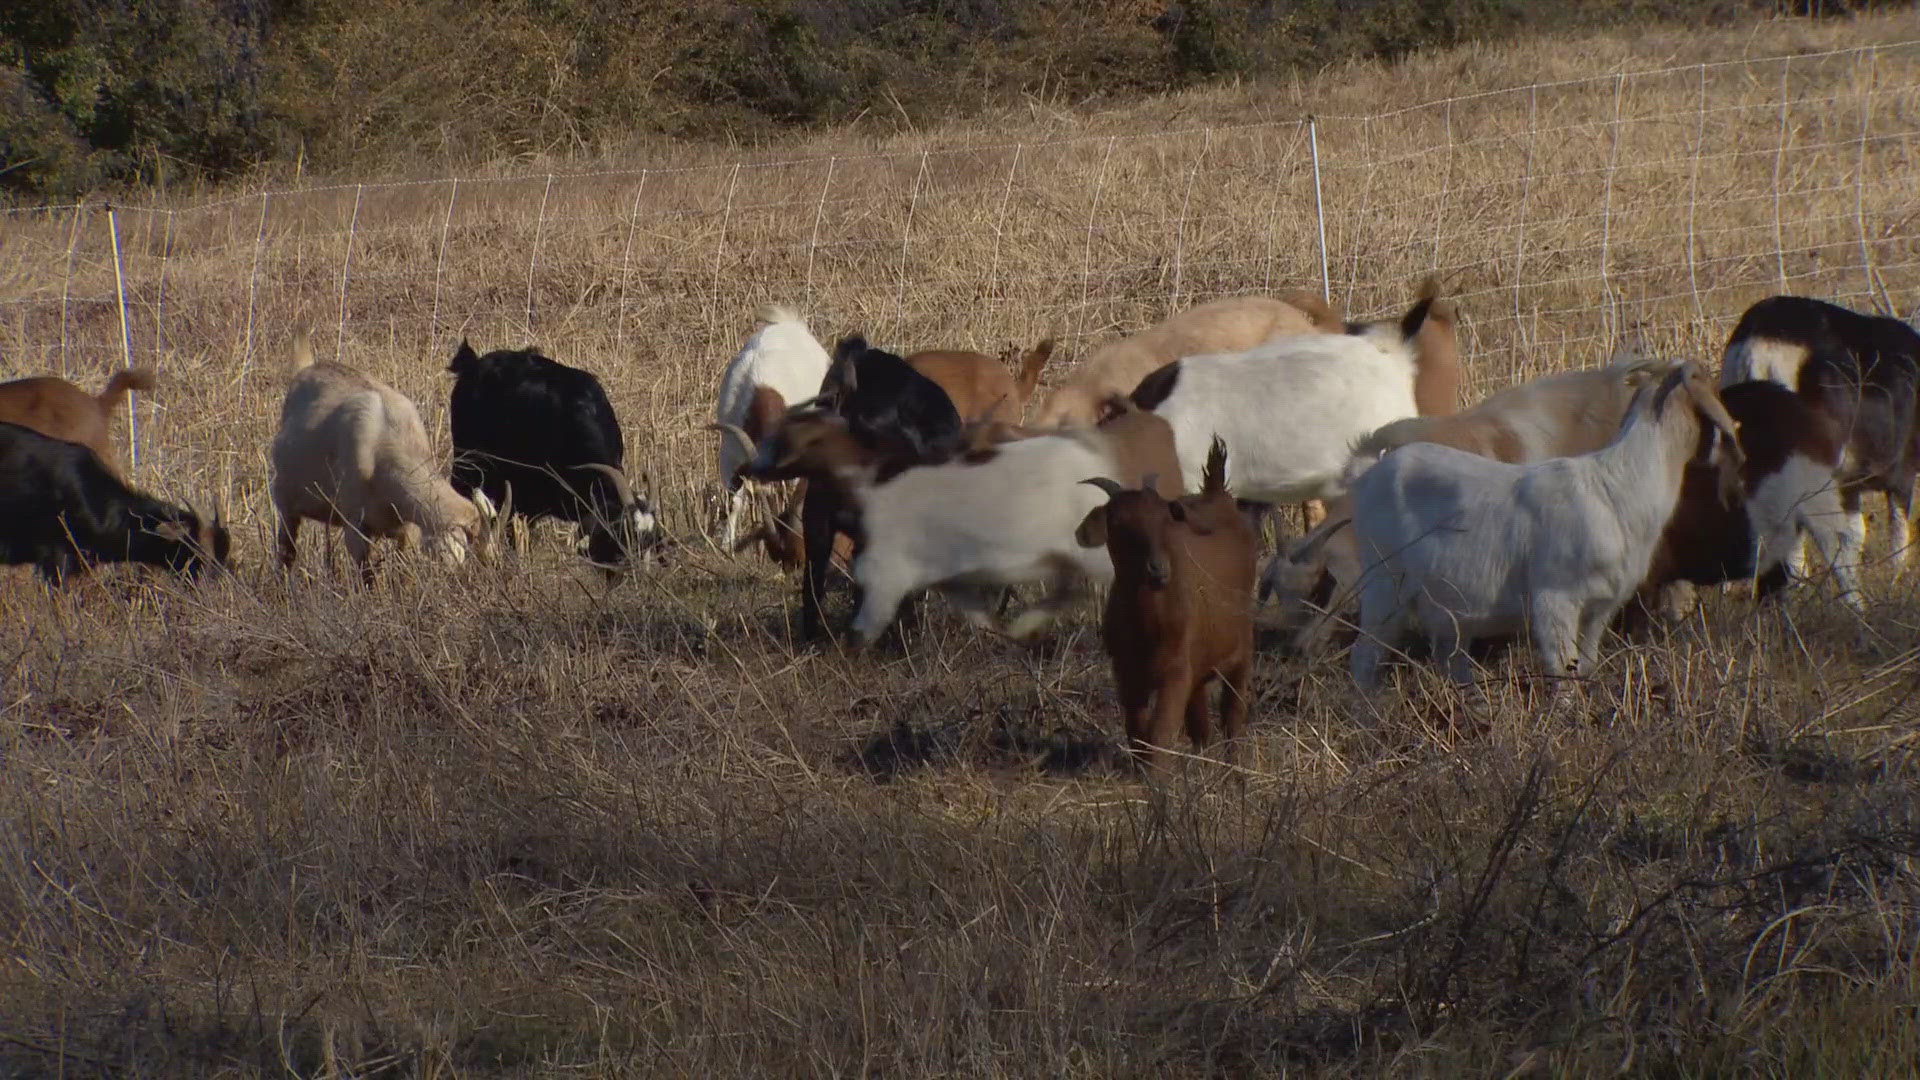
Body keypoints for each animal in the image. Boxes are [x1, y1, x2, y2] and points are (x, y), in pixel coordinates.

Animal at [271, 333, 494, 580]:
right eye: (465, 548)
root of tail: (306, 367)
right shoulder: (355, 526)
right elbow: (367, 575)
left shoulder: (408, 528)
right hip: (286, 503)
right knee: (287, 550)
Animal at [447, 341, 655, 570]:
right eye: (623, 536)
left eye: (650, 541)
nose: (639, 573)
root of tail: (473, 364)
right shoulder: (524, 495)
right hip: (467, 462)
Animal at [1077, 438, 1255, 771]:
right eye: (1117, 523)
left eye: (1166, 519)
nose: (1158, 569)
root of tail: (1218, 494)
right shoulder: (1126, 671)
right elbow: (1137, 729)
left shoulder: (1176, 671)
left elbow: (1161, 729)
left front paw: (1158, 777)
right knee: (1200, 719)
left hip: (1242, 649)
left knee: (1232, 715)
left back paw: (1233, 768)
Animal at [1347, 361, 1743, 691]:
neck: (1618, 485)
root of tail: (1368, 474)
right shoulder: (1555, 600)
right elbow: (1561, 668)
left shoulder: (1600, 608)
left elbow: (1585, 664)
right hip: (1385, 585)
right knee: (1364, 657)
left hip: (1445, 603)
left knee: (1449, 658)